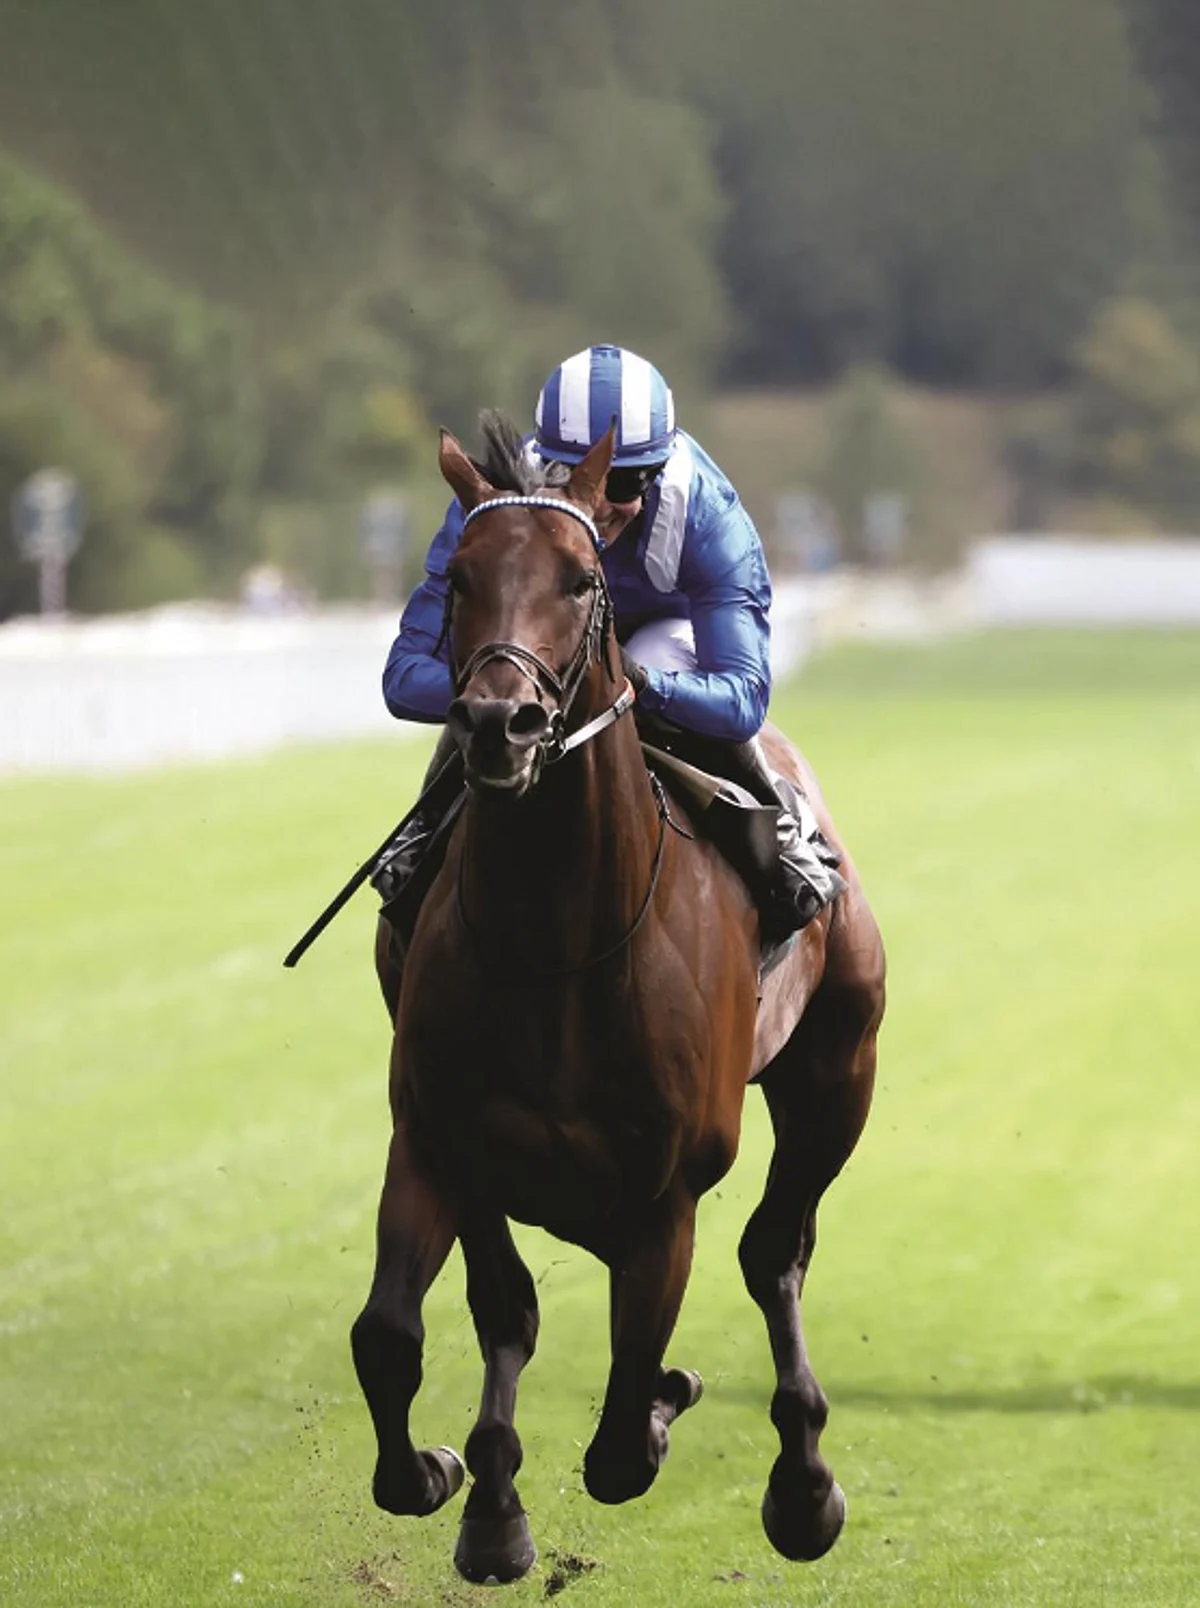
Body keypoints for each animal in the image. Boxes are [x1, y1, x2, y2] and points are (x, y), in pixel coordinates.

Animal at [351, 417, 886, 1584]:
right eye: (459, 577)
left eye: (581, 577)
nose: (498, 723)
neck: (557, 940)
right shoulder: (439, 1143)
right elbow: (408, 1333)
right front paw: (466, 1490)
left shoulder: (662, 1196)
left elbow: (620, 1438)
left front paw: (661, 1403)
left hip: (838, 1071)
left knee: (774, 1253)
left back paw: (803, 1488)